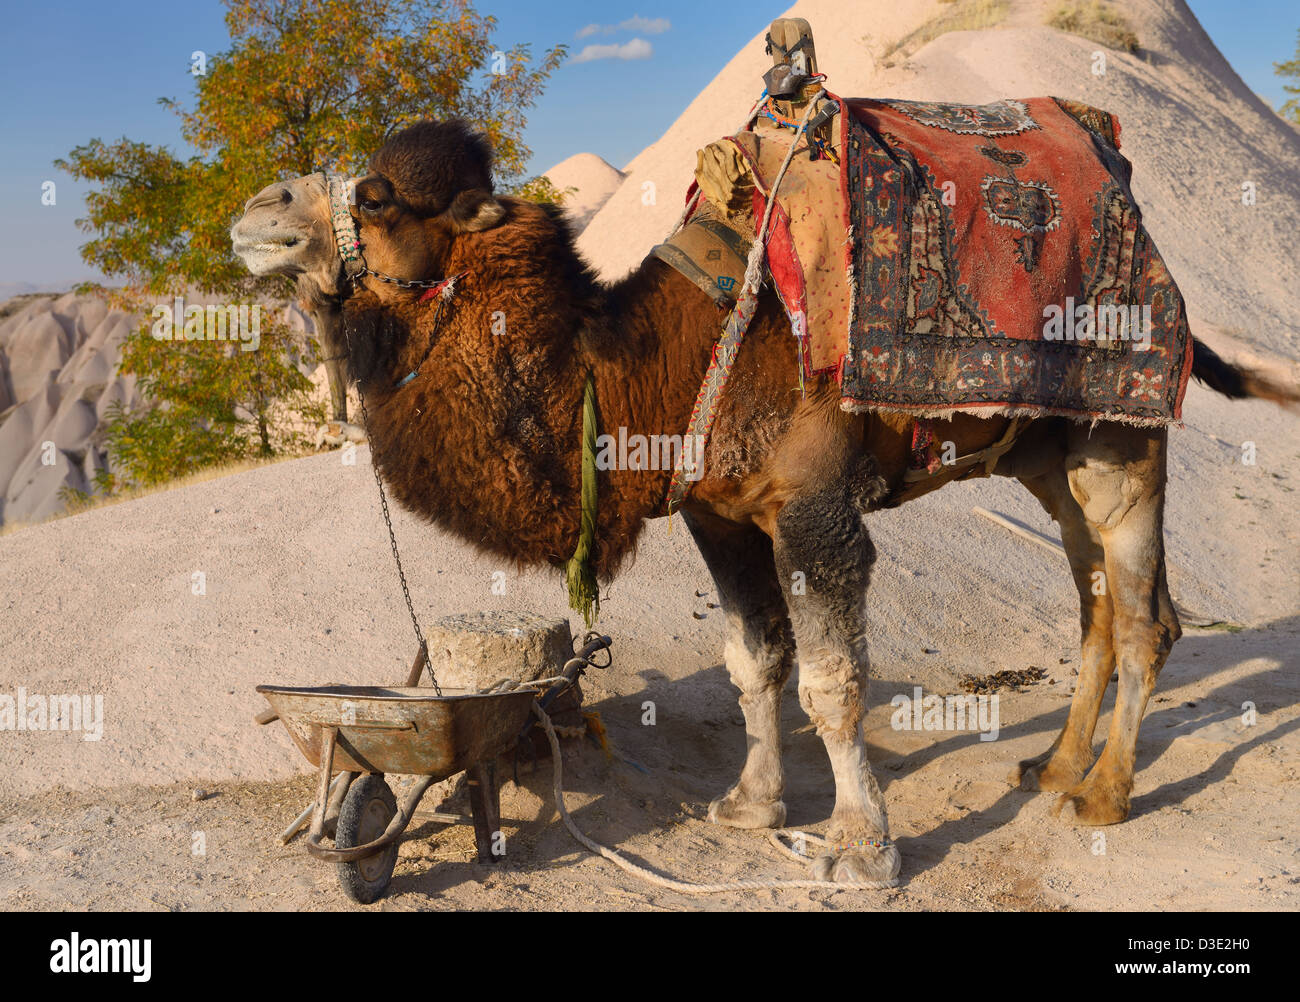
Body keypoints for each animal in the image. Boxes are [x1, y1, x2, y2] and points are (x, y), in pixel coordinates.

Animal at [231, 119, 1296, 886]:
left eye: (375, 196)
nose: (253, 212)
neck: (643, 373)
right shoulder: (718, 512)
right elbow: (756, 662)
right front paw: (751, 807)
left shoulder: (813, 506)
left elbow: (832, 680)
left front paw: (862, 850)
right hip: (1046, 457)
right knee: (1095, 602)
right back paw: (1056, 768)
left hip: (1123, 442)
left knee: (1145, 615)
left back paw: (1105, 794)